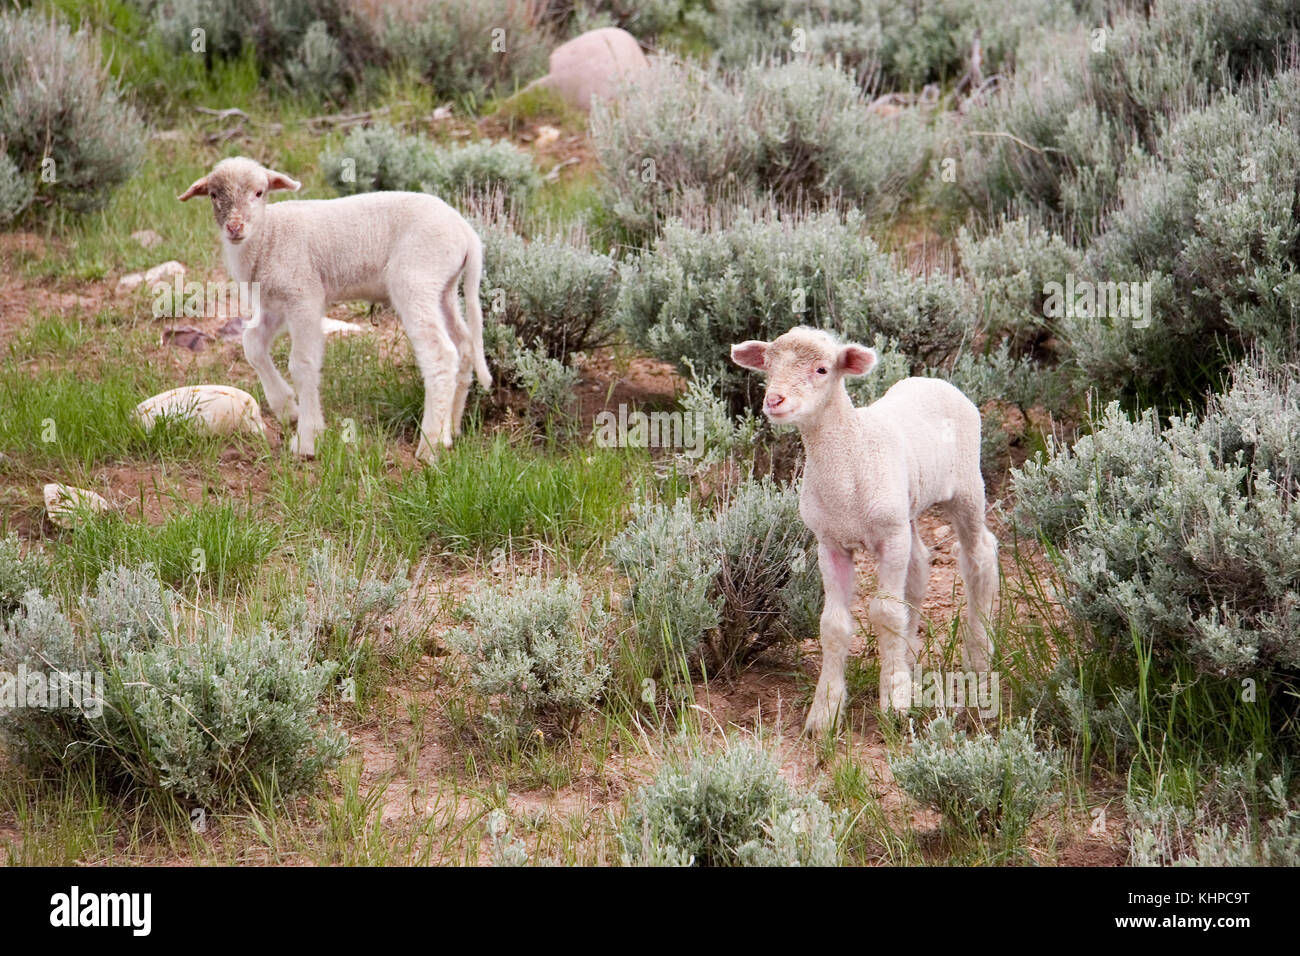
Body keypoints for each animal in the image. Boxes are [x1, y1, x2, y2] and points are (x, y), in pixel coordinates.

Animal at [178, 156, 490, 463]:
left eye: (259, 192)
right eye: (214, 195)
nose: (235, 228)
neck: (269, 235)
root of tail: (466, 232)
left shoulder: (304, 296)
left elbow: (302, 363)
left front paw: (307, 438)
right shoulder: (274, 304)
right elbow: (252, 344)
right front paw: (287, 408)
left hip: (416, 278)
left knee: (440, 354)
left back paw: (430, 445)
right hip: (444, 288)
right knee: (464, 346)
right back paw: (451, 430)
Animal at [731, 327, 998, 733]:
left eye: (822, 369)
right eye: (769, 366)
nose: (775, 400)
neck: (851, 451)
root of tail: (933, 380)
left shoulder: (889, 536)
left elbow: (885, 613)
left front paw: (895, 703)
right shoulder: (830, 542)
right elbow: (834, 624)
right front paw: (825, 711)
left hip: (966, 487)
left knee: (979, 556)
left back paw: (978, 657)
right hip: (906, 511)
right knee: (918, 566)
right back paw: (908, 655)